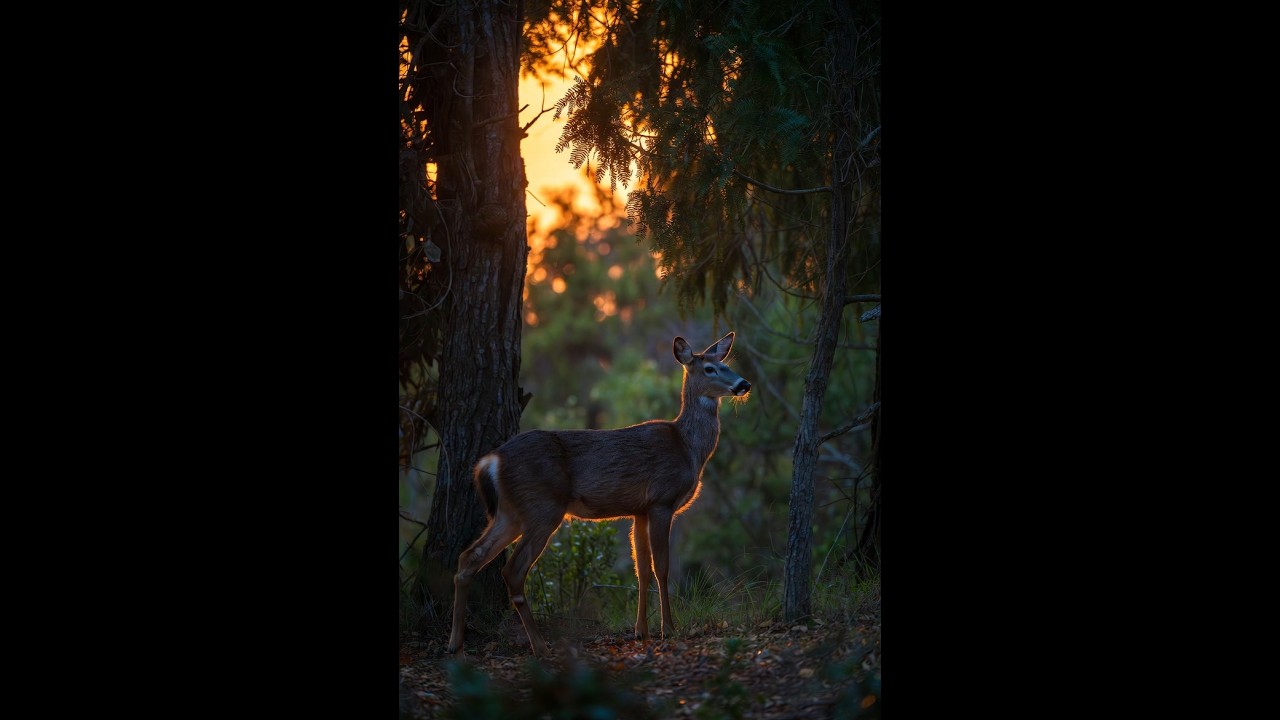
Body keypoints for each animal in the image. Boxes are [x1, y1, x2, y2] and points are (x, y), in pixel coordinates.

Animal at [447, 332, 751, 657]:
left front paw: (641, 631)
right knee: (513, 571)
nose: (744, 384)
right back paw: (539, 645)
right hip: (543, 508)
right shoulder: (662, 500)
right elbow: (662, 567)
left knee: (469, 558)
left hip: (510, 513)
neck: (688, 450)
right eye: (709, 368)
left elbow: (642, 568)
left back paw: (456, 644)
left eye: (726, 363)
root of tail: (491, 461)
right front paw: (668, 629)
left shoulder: (640, 509)